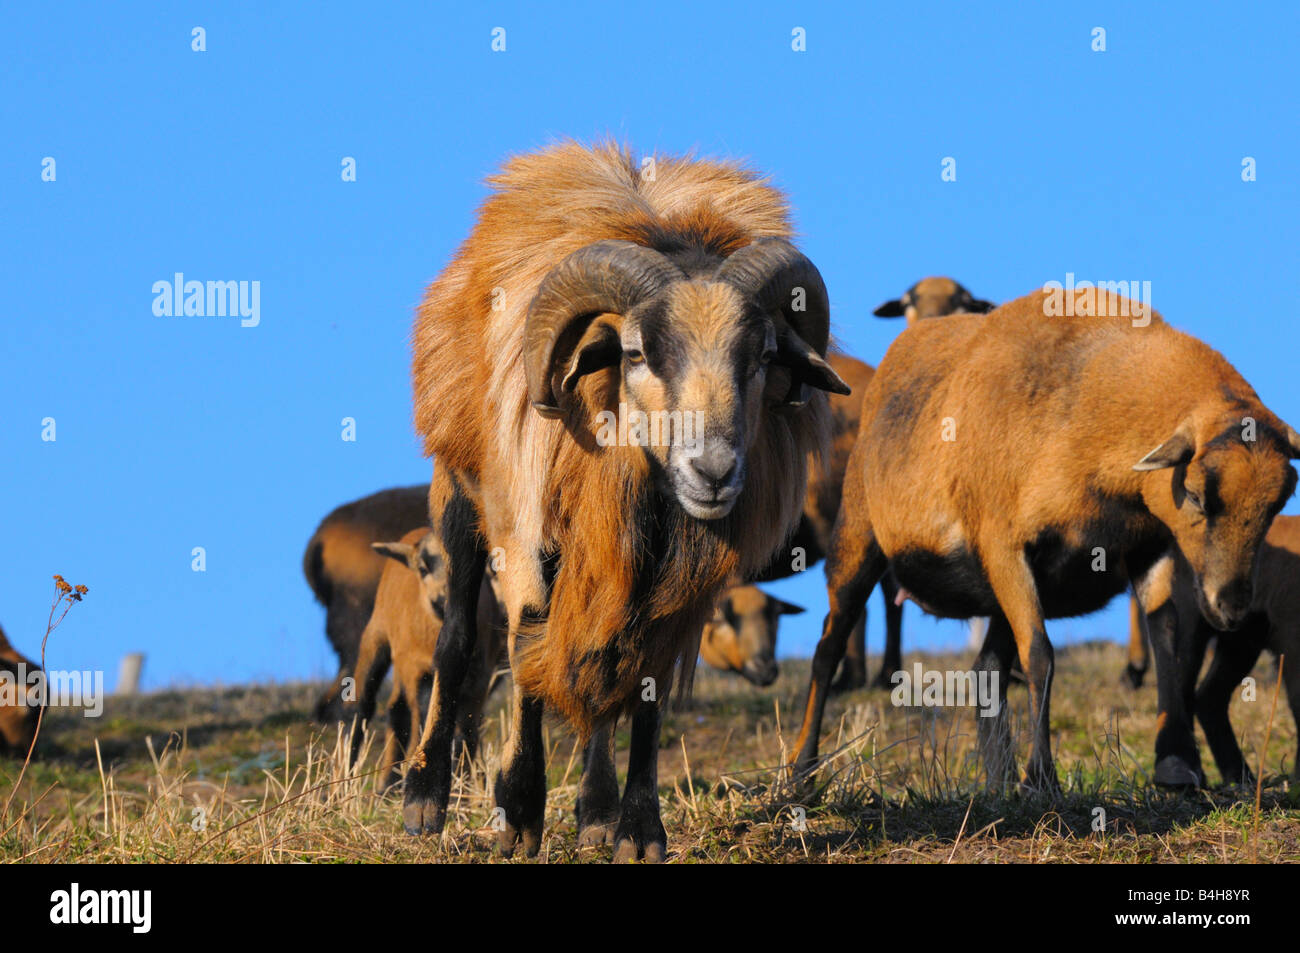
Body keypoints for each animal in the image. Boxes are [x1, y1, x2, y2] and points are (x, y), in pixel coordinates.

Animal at [345, 529, 506, 789]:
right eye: (423, 568)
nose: (443, 598)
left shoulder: (480, 676)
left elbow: (467, 729)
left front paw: (464, 787)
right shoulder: (417, 670)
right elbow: (424, 718)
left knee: (397, 708)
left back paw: (388, 785)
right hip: (378, 635)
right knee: (364, 707)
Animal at [407, 141, 847, 860]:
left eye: (761, 356)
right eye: (636, 353)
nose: (713, 471)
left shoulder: (672, 587)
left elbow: (641, 688)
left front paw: (637, 828)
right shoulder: (529, 536)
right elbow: (525, 652)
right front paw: (519, 811)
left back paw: (594, 810)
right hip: (460, 491)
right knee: (459, 639)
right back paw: (423, 795)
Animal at [791, 288, 1300, 791]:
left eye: (1278, 504)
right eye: (1194, 494)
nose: (1231, 609)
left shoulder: (1147, 549)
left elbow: (1168, 642)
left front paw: (1176, 764)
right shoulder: (1007, 546)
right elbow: (1040, 655)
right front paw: (1041, 777)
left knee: (987, 667)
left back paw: (998, 783)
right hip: (858, 537)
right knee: (827, 650)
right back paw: (801, 770)